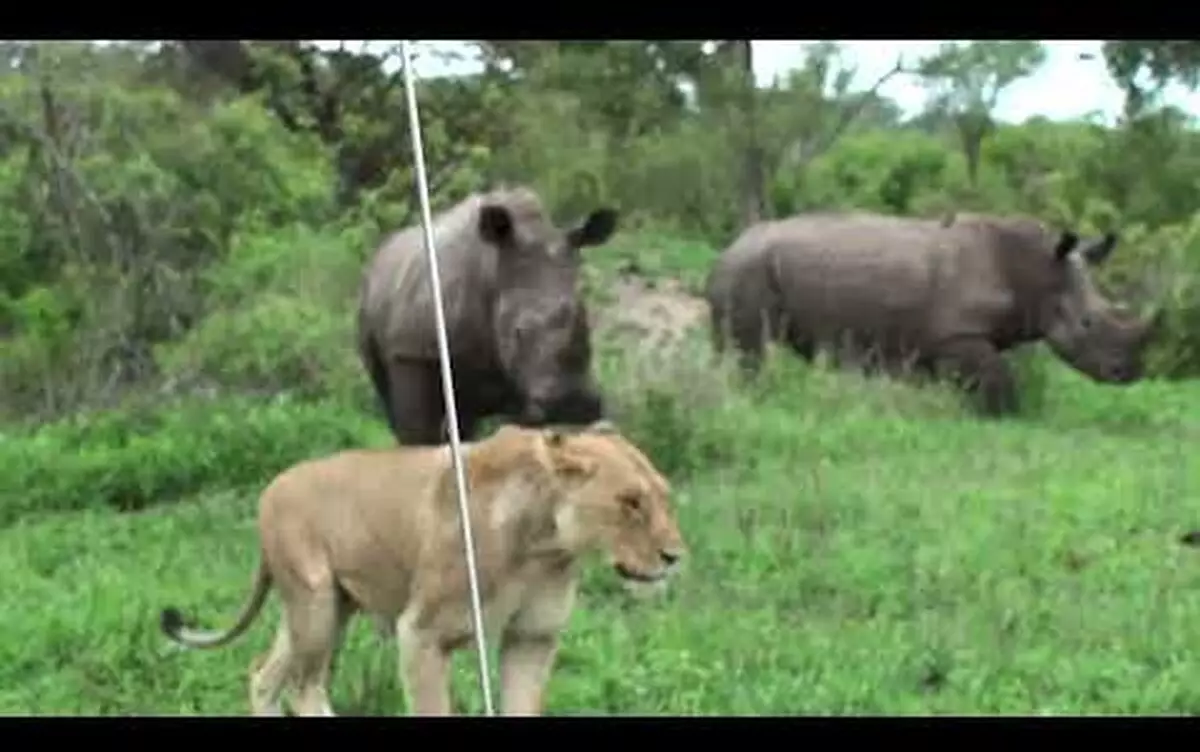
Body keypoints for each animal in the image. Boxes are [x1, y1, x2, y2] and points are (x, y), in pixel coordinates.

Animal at [159, 419, 686, 719]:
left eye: (664, 497)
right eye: (630, 502)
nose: (675, 557)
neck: (545, 548)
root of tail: (271, 486)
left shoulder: (532, 638)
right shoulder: (423, 634)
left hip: (323, 609)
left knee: (265, 676)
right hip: (314, 602)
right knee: (304, 686)